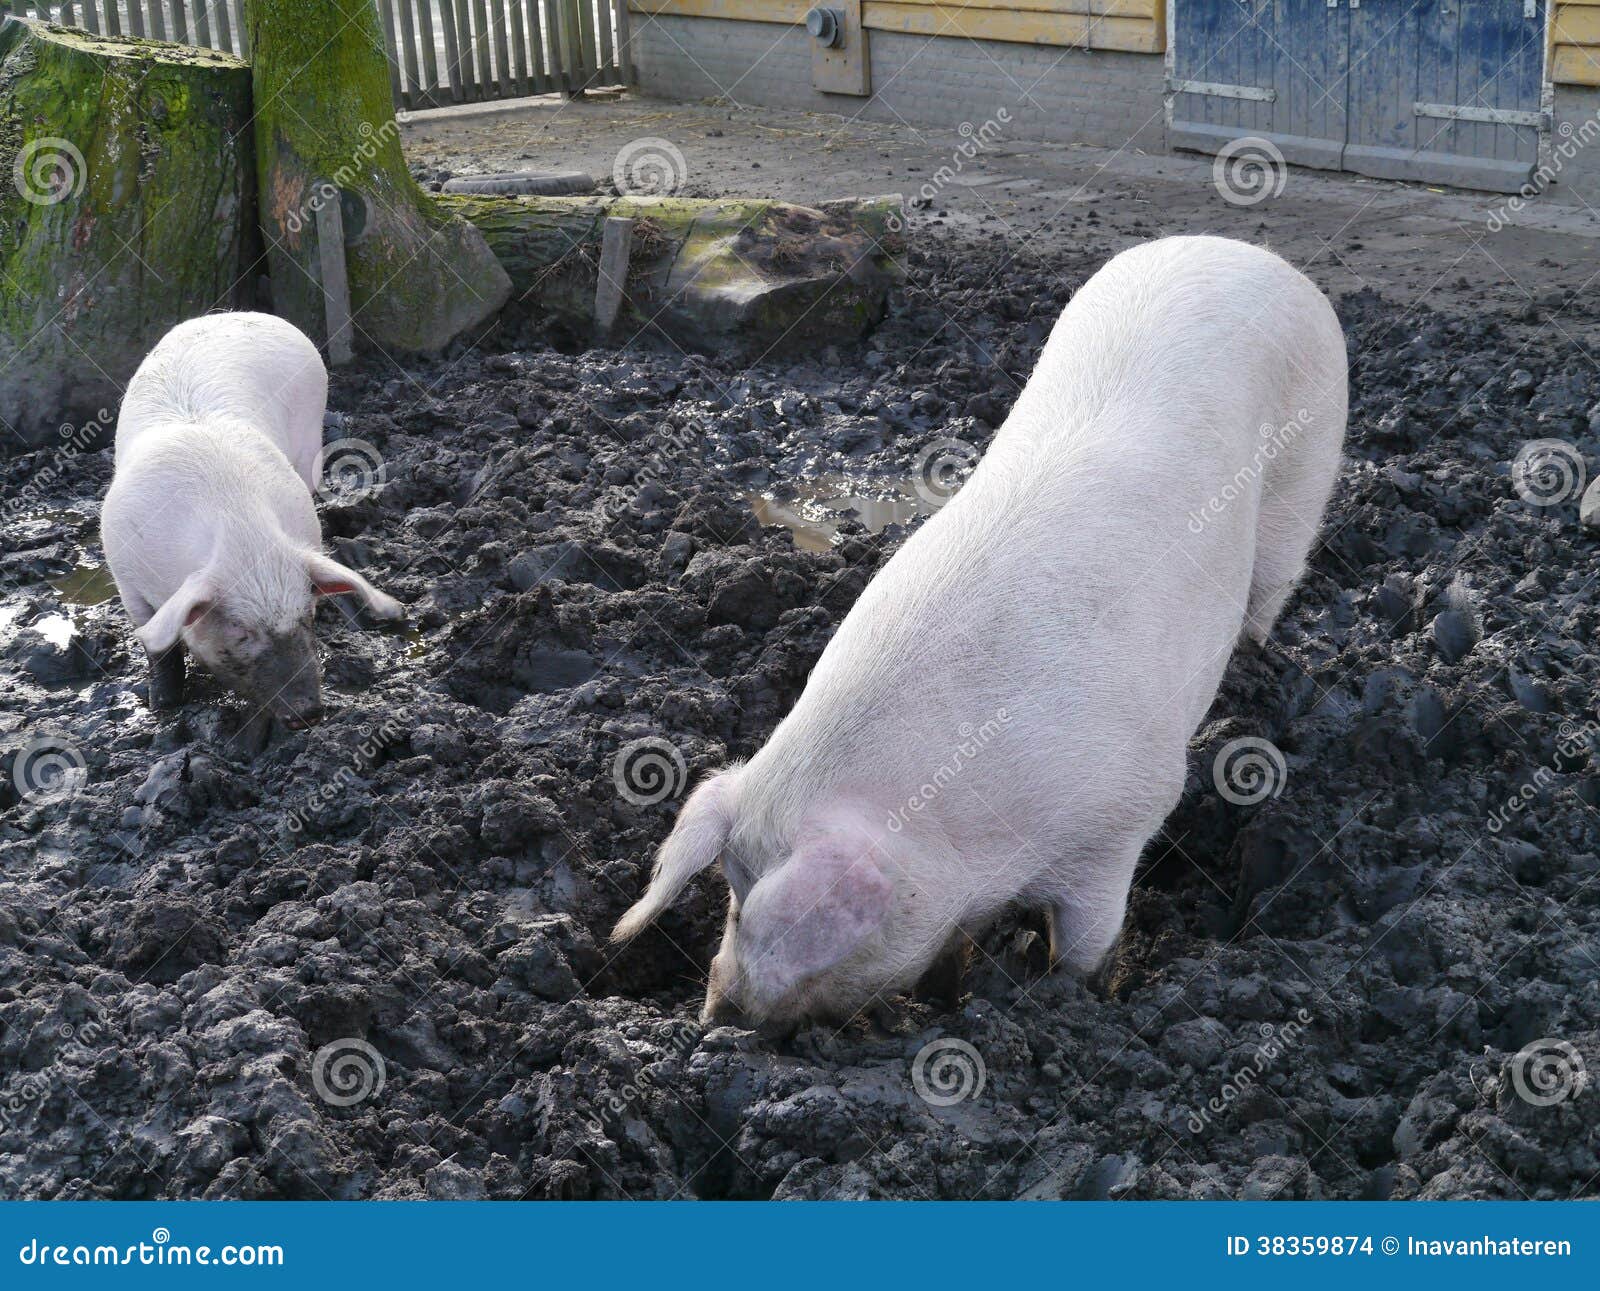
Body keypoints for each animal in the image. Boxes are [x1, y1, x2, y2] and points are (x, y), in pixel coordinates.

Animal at [102, 312, 401, 729]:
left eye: (305, 618)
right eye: (241, 631)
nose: (309, 712)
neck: (238, 527)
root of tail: (245, 314)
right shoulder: (125, 574)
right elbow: (158, 647)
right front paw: (162, 706)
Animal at [612, 236, 1347, 1027]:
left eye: (749, 911)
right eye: (728, 894)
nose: (716, 1019)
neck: (964, 822)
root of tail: (1249, 253)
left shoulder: (1122, 818)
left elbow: (1087, 945)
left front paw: (1074, 995)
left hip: (1304, 471)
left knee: (1274, 582)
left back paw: (1255, 665)